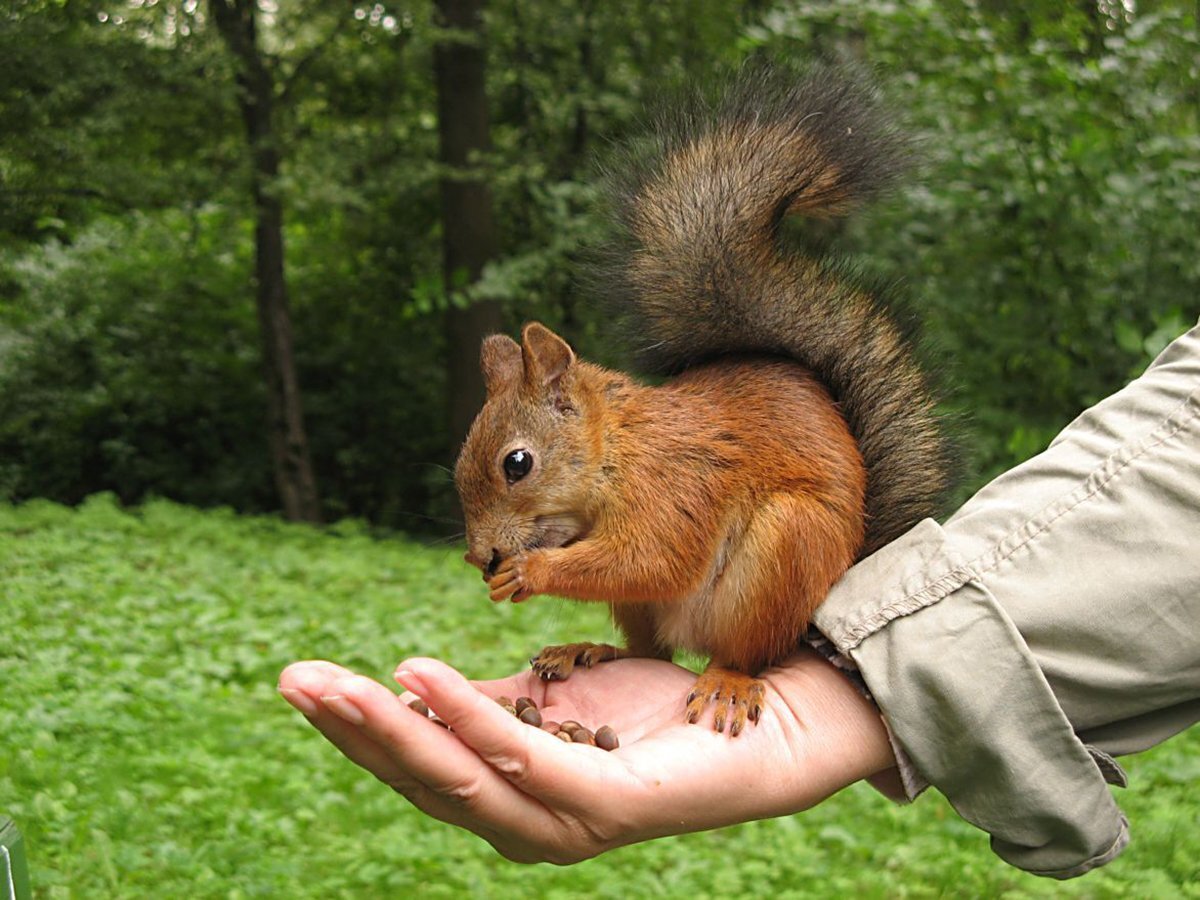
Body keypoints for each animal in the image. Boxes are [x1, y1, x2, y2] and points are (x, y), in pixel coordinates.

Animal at [453, 65, 950, 739]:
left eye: (517, 464)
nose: (482, 557)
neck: (618, 451)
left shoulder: (676, 485)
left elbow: (654, 559)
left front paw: (530, 572)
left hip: (787, 548)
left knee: (743, 652)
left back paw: (728, 680)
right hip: (651, 611)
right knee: (651, 652)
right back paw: (588, 650)